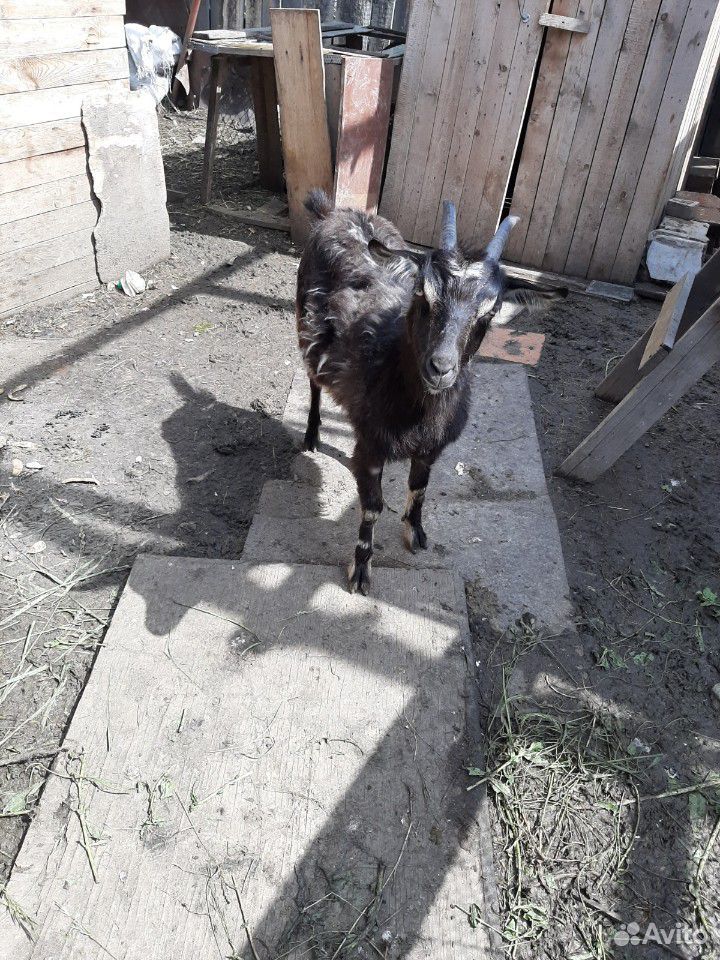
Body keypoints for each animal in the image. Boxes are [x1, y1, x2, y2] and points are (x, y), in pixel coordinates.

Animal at [296, 190, 565, 595]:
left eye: (490, 313)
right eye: (422, 294)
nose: (441, 368)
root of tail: (335, 212)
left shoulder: (432, 448)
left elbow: (420, 487)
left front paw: (416, 531)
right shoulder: (371, 443)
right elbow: (372, 506)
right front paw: (360, 570)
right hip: (304, 326)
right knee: (313, 381)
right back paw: (312, 434)